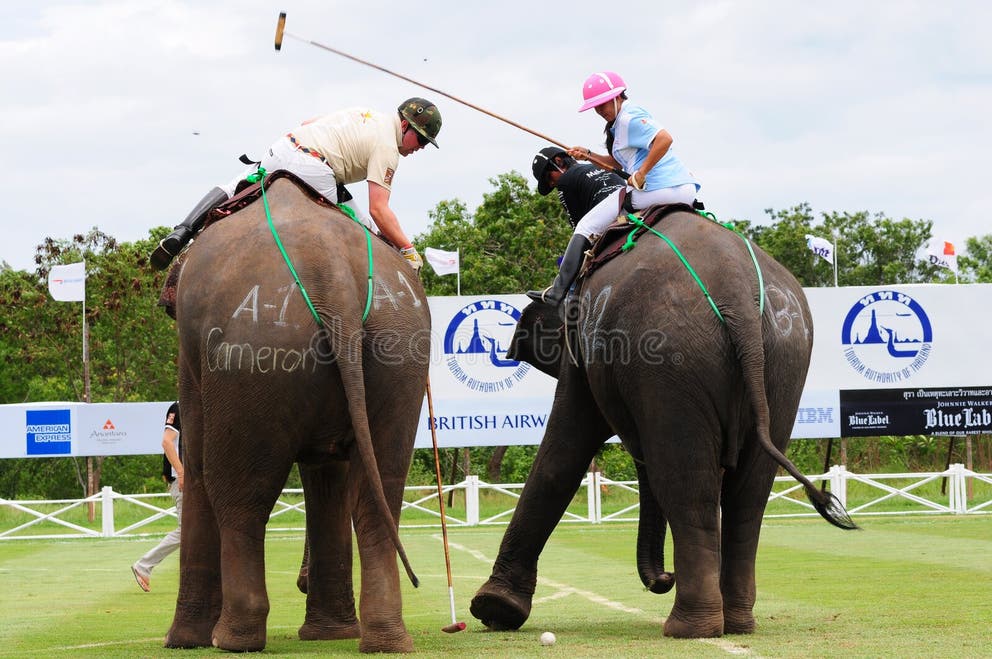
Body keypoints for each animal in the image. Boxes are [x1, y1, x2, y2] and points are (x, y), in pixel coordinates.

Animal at [165, 175, 431, 653]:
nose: (301, 579)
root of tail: (332, 274)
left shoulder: (191, 357)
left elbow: (193, 458)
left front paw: (183, 641)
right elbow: (329, 471)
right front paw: (332, 634)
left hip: (252, 356)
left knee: (239, 492)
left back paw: (231, 639)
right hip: (400, 351)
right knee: (380, 489)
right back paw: (385, 640)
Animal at [470, 206, 855, 639]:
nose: (665, 577)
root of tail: (738, 293)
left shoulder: (580, 351)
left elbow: (564, 448)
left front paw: (493, 610)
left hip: (672, 360)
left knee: (686, 482)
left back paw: (689, 629)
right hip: (781, 363)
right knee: (746, 492)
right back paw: (735, 625)